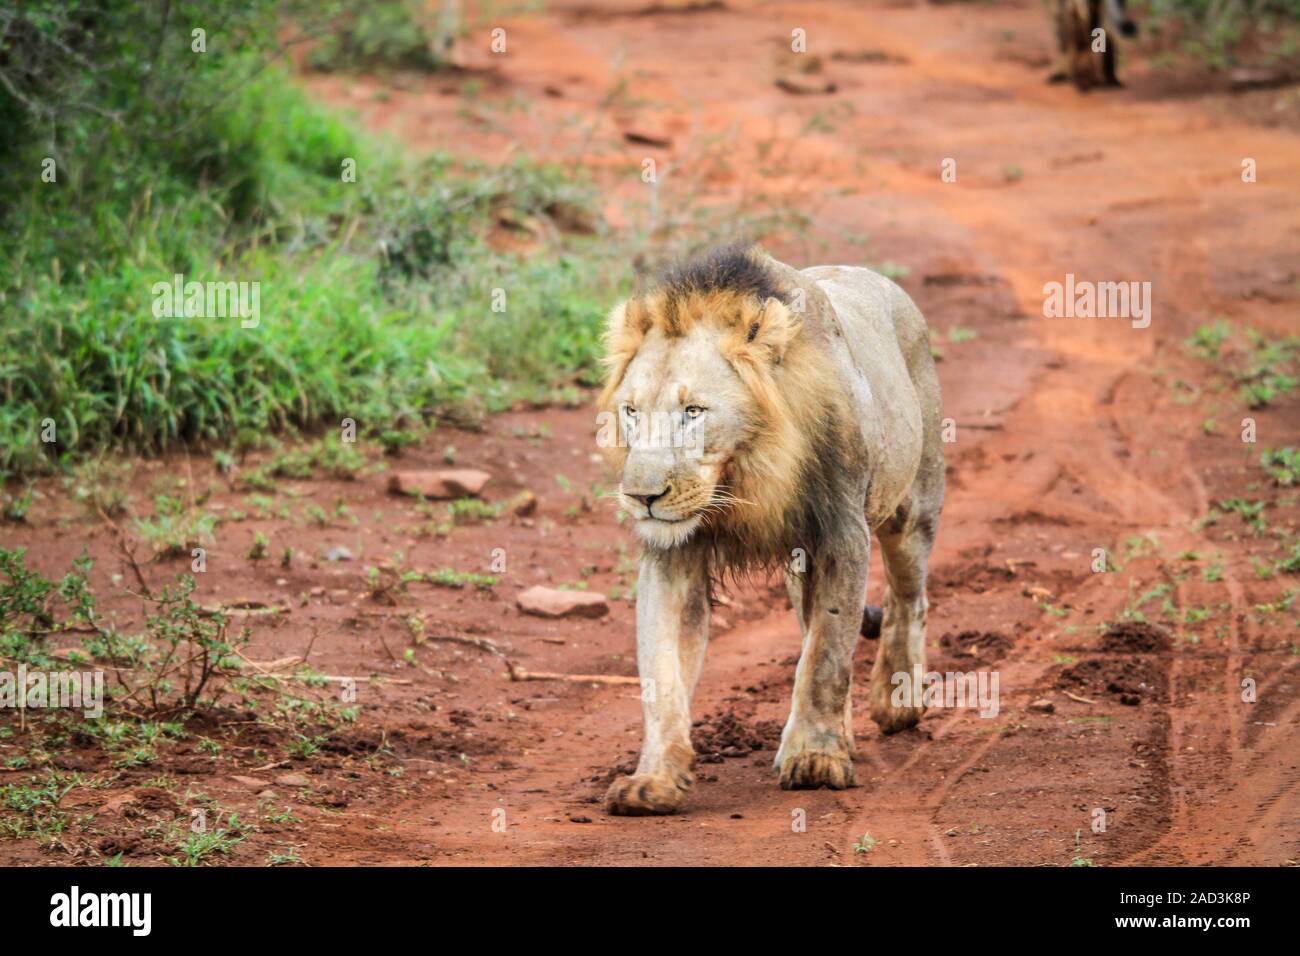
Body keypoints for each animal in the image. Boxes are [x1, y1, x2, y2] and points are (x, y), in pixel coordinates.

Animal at [597, 245, 945, 815]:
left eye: (694, 411)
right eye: (630, 411)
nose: (641, 497)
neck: (744, 476)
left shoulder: (842, 535)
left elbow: (825, 657)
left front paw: (816, 760)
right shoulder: (673, 556)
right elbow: (663, 672)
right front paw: (654, 780)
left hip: (912, 509)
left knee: (907, 598)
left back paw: (897, 701)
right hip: (800, 568)